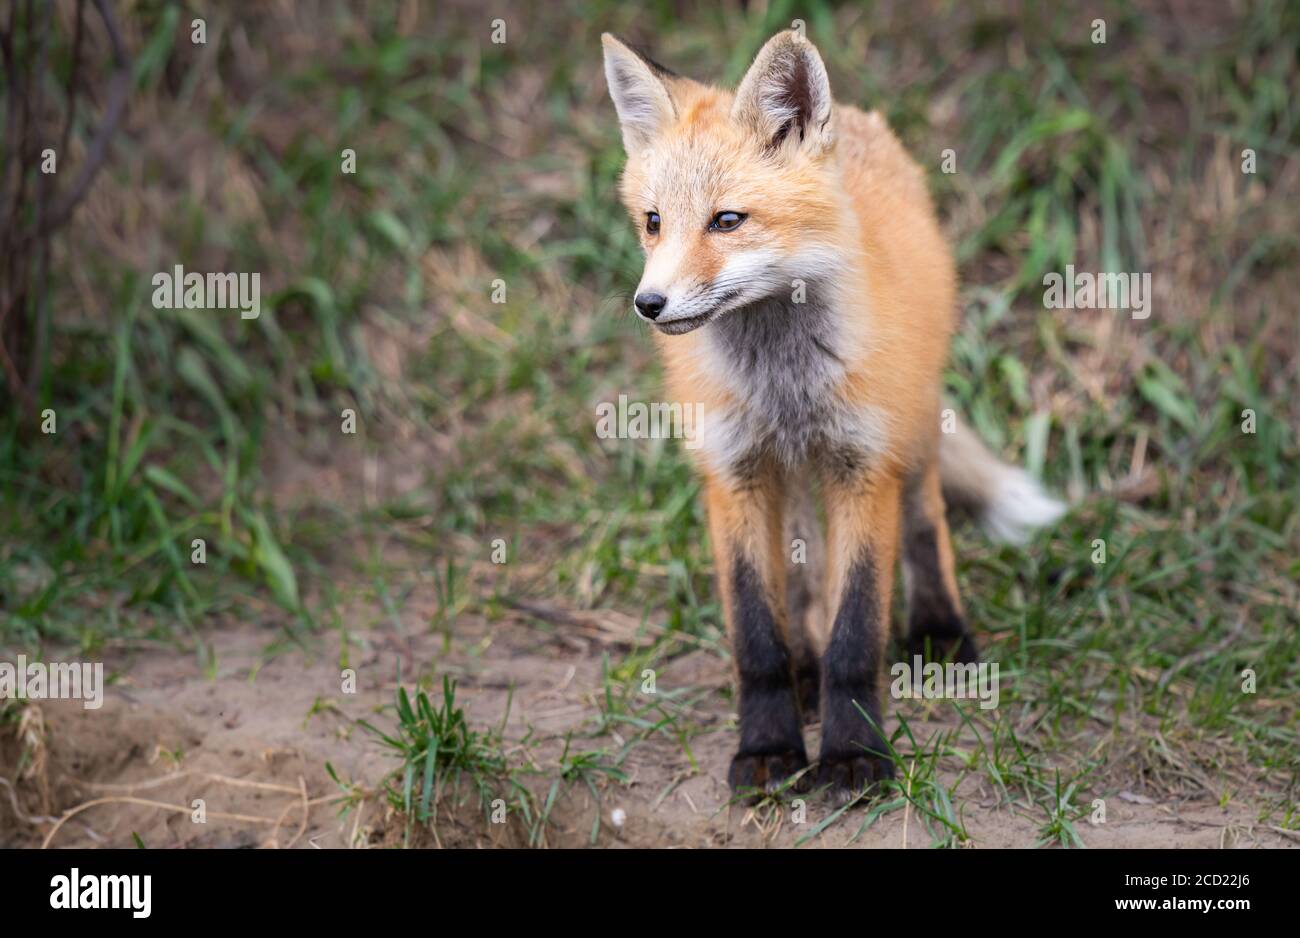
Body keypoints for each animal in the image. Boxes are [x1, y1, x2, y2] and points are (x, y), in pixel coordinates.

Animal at [601, 30, 1065, 801]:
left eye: (726, 221)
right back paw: (804, 673)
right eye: (653, 222)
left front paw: (854, 758)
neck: (786, 384)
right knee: (805, 577)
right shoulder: (733, 472)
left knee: (926, 519)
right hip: (791, 480)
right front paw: (768, 747)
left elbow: (857, 631)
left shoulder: (862, 467)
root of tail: (857, 117)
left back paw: (940, 629)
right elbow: (757, 636)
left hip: (910, 427)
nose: (649, 303)